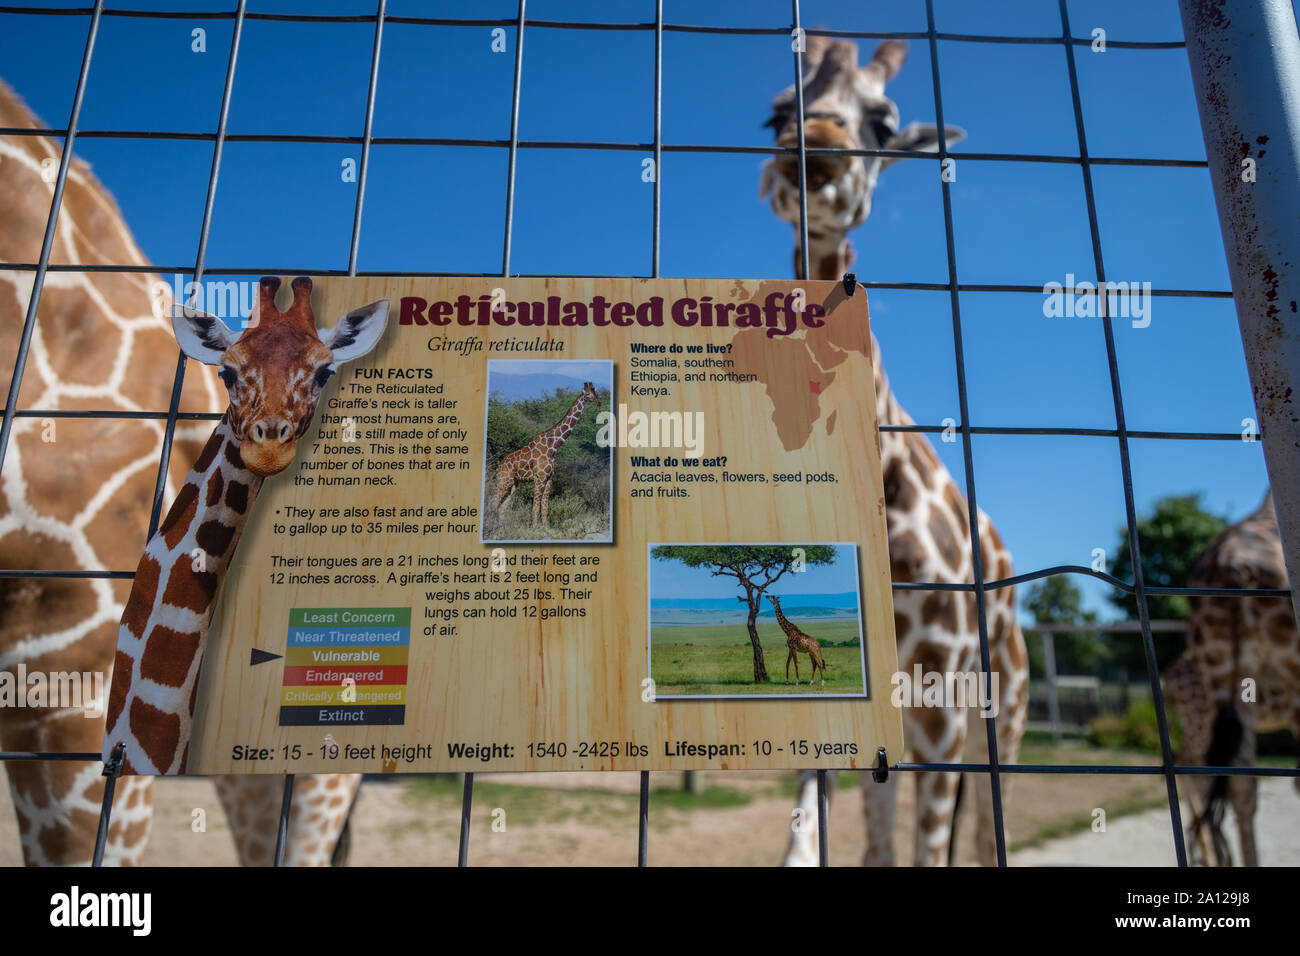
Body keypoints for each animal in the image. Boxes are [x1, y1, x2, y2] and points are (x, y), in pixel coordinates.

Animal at [489, 381, 600, 530]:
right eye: (587, 394)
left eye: (595, 391)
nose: (598, 402)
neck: (553, 447)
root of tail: (498, 467)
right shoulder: (539, 478)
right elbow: (535, 507)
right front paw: (534, 529)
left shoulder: (549, 478)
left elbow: (545, 507)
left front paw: (546, 528)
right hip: (503, 481)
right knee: (493, 503)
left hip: (513, 484)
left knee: (502, 508)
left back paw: (501, 530)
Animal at [762, 37, 1029, 866]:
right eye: (777, 113)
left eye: (883, 120)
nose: (814, 149)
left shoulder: (942, 703)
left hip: (1004, 712)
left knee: (983, 834)